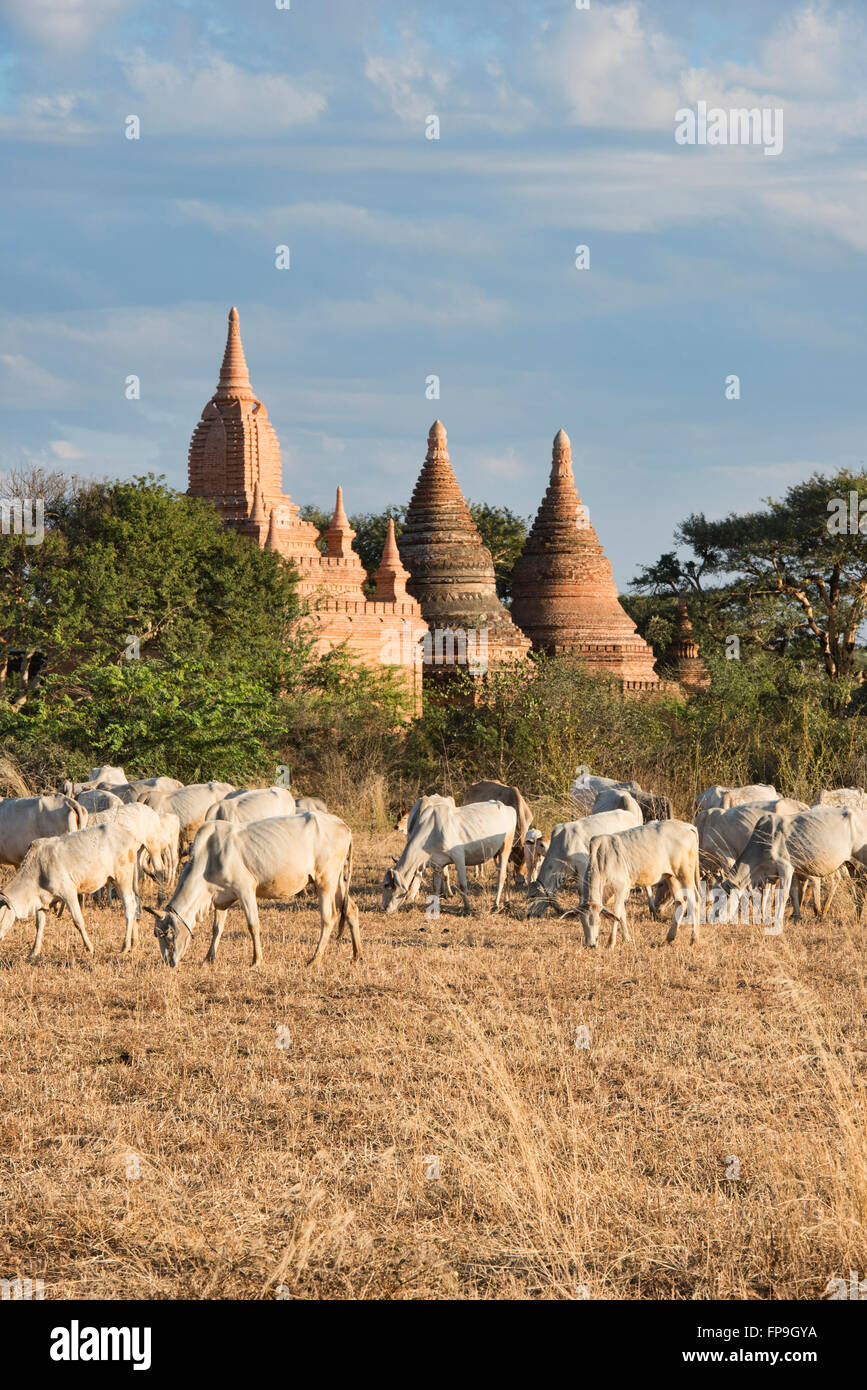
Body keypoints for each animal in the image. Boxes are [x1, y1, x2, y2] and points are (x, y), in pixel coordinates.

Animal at [0, 824, 140, 959]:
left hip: (122, 878)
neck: (37, 869)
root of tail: (130, 835)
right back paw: (134, 943)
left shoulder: (69, 894)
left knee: (130, 906)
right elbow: (39, 925)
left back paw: (125, 946)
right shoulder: (42, 901)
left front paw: (90, 948)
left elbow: (78, 921)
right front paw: (34, 952)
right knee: (135, 904)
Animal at [146, 811, 360, 969]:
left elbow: (253, 925)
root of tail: (344, 826)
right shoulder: (220, 899)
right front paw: (208, 959)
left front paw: (256, 960)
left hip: (325, 882)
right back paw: (357, 954)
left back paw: (314, 959)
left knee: (329, 918)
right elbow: (217, 928)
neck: (208, 857)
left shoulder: (245, 890)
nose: (168, 962)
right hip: (337, 882)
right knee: (351, 910)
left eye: (166, 934)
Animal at [382, 799, 517, 916]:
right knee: (507, 875)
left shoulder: (459, 858)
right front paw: (434, 906)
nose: (385, 907)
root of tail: (508, 808)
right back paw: (507, 902)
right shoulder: (437, 864)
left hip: (506, 848)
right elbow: (436, 886)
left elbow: (462, 885)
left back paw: (495, 905)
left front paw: (467, 909)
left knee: (501, 876)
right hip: (496, 854)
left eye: (387, 885)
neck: (431, 832)